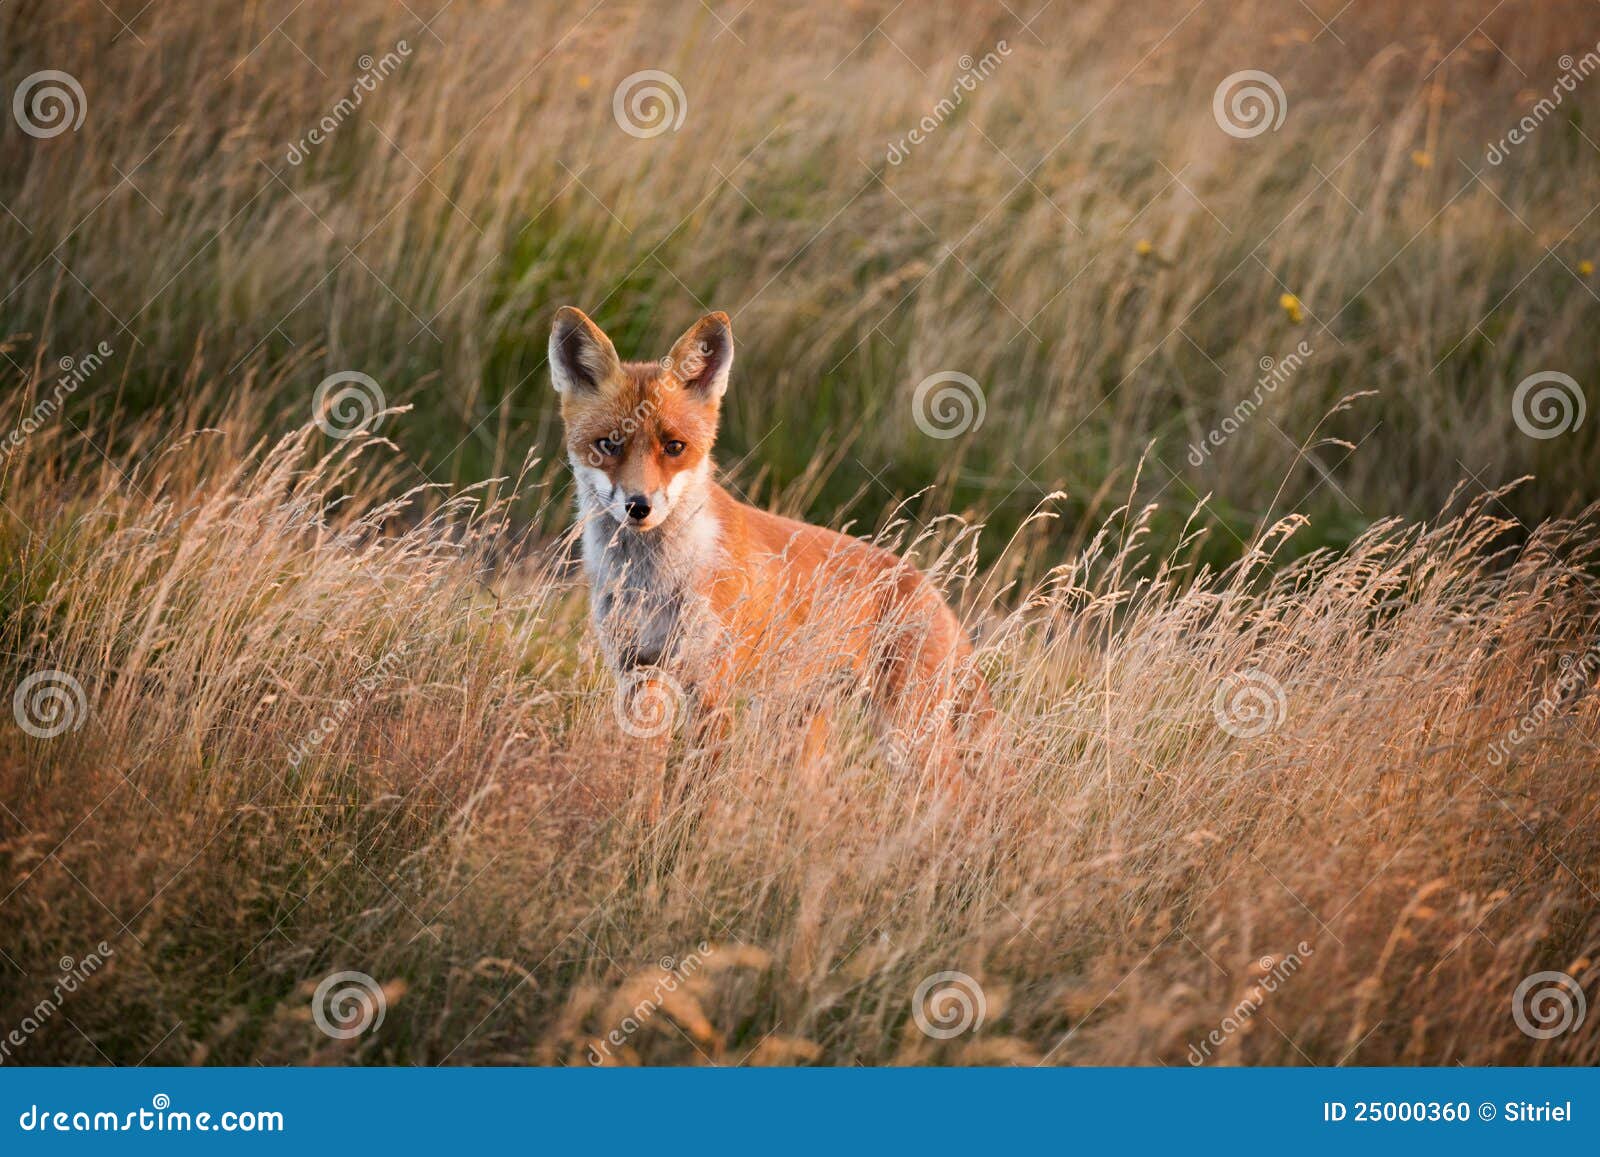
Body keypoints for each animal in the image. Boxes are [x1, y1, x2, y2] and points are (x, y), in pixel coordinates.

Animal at [549, 306, 991, 807]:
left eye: (674, 447)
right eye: (609, 444)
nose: (638, 506)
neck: (653, 579)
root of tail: (934, 591)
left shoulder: (711, 684)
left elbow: (698, 794)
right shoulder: (639, 673)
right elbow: (644, 782)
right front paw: (635, 824)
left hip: (906, 734)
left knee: (956, 799)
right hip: (803, 728)